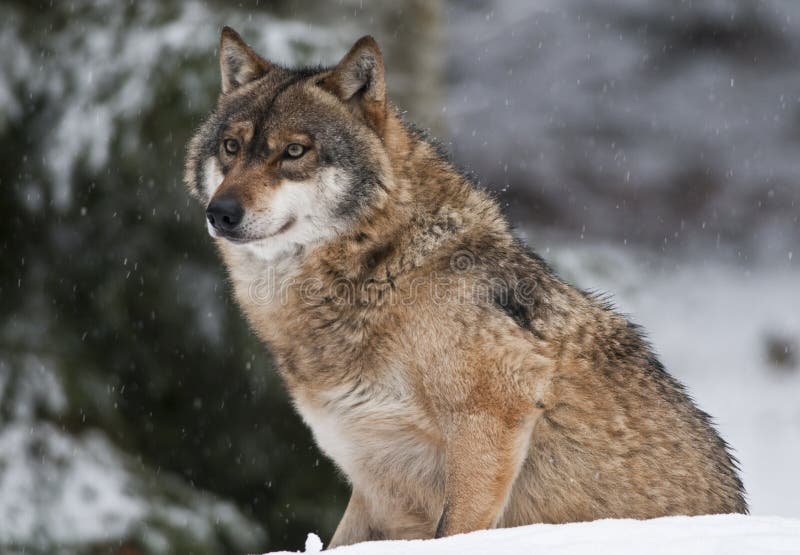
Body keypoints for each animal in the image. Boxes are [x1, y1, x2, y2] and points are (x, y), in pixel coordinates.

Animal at [184, 27, 747, 547]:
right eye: (231, 147)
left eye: (294, 151)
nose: (221, 212)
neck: (381, 268)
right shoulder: (375, 483)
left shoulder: (492, 417)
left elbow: (453, 531)